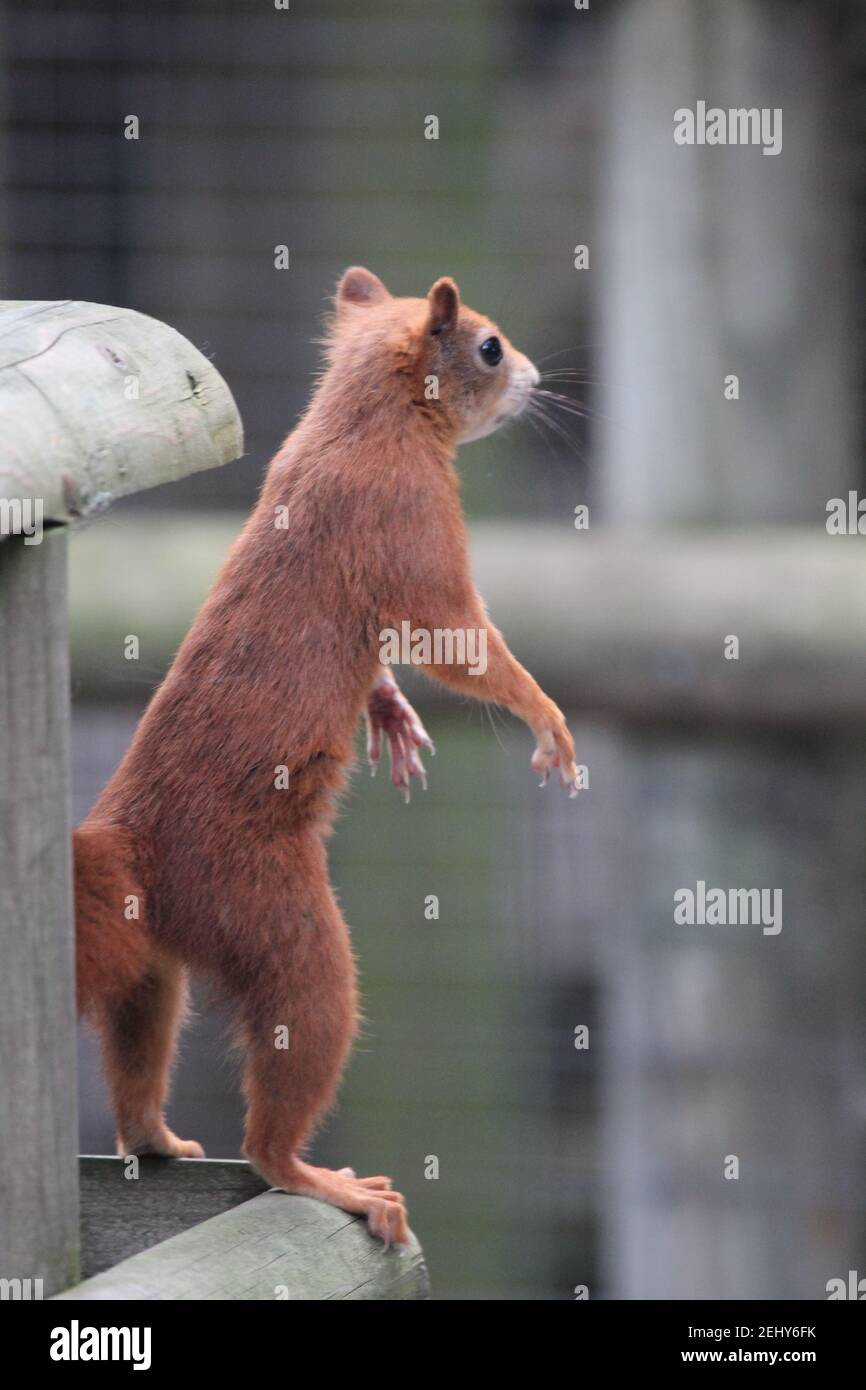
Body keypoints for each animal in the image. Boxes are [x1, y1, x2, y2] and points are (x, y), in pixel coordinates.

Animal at [74, 268, 578, 1245]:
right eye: (488, 348)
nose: (536, 379)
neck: (362, 416)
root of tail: (132, 847)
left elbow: (397, 661)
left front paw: (391, 715)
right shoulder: (410, 522)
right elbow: (456, 643)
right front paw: (546, 719)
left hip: (155, 969)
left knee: (137, 1048)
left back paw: (158, 1137)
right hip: (275, 923)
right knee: (279, 1109)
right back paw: (323, 1180)